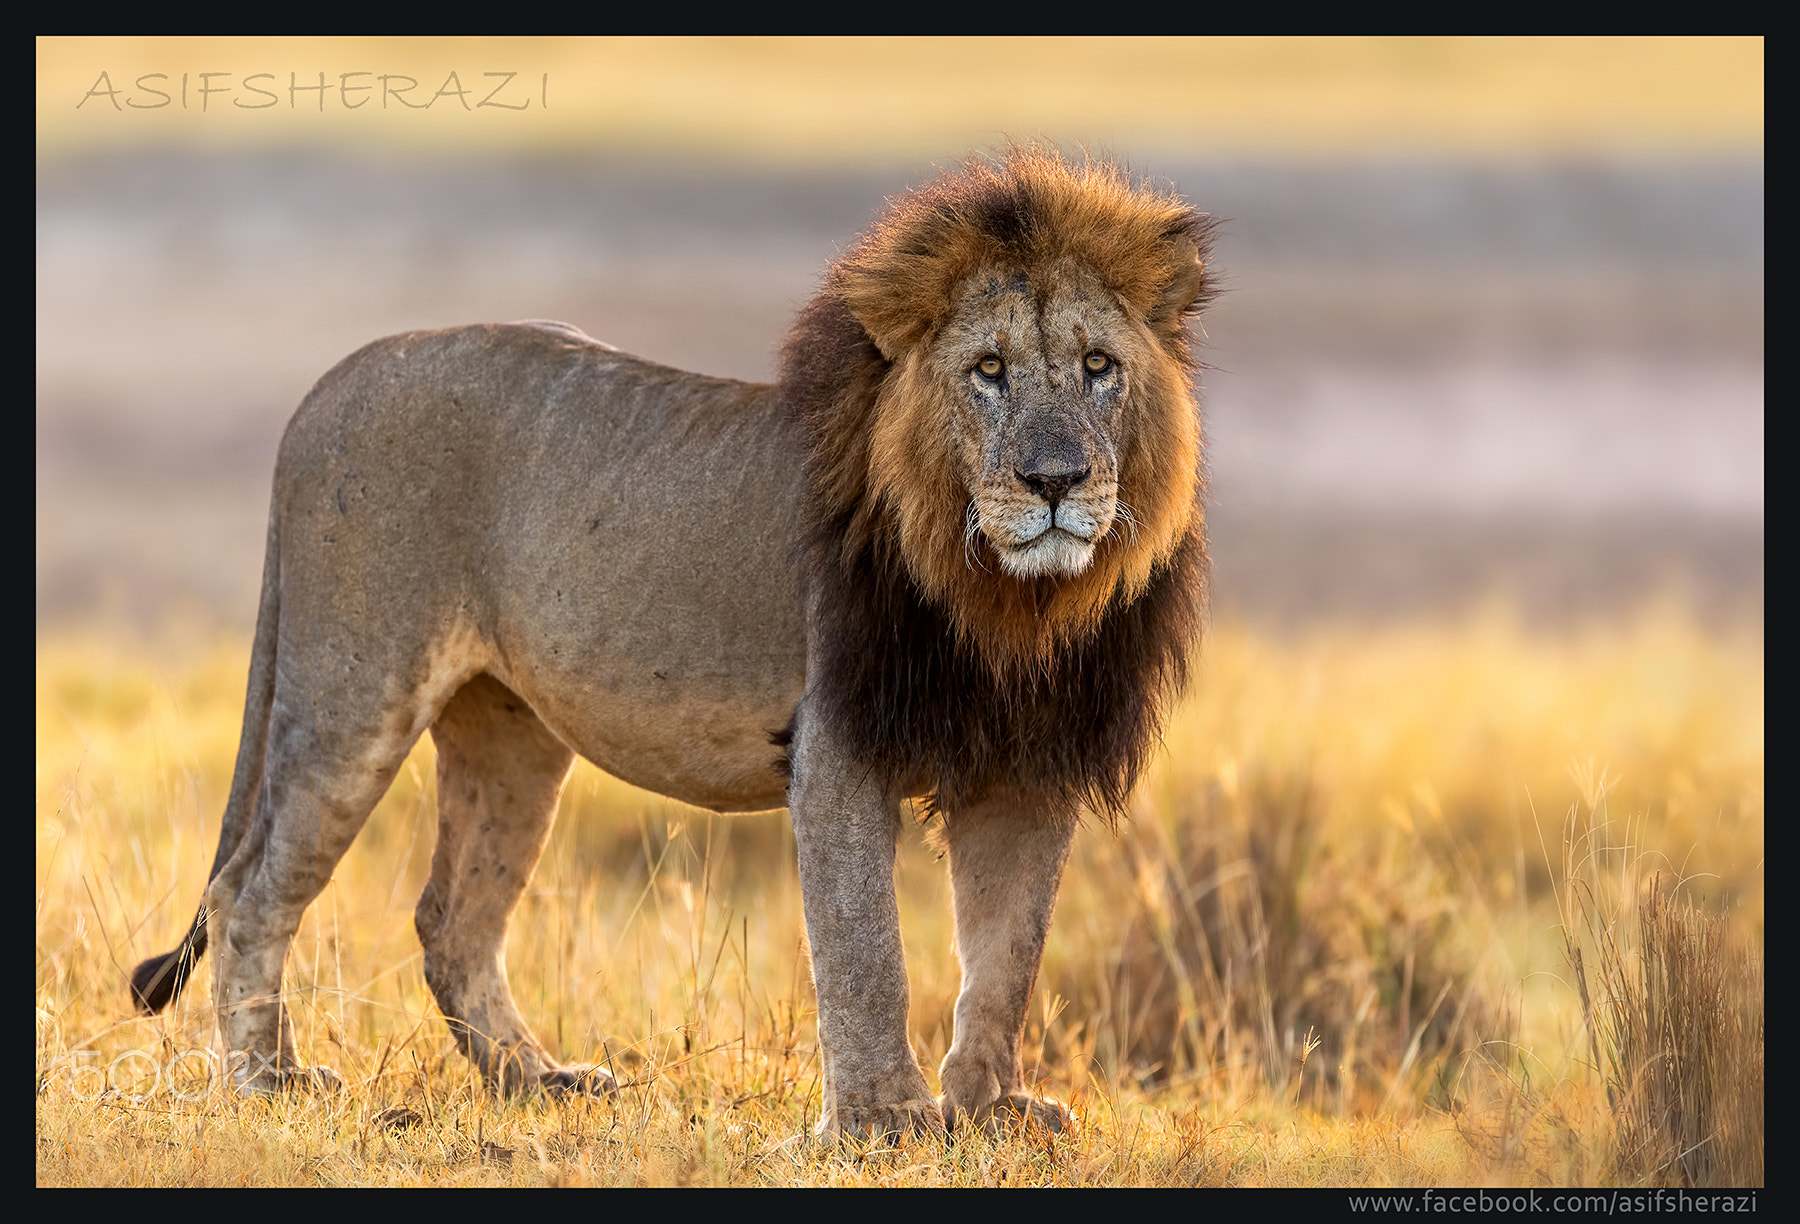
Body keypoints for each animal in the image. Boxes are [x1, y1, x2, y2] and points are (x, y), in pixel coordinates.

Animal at [129, 148, 1216, 1139]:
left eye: (1099, 368)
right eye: (988, 371)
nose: (1055, 481)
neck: (1014, 608)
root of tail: (332, 381)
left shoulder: (1028, 764)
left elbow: (1006, 955)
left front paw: (991, 1108)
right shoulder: (838, 743)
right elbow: (866, 949)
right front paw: (884, 1122)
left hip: (510, 733)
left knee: (451, 917)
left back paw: (537, 1080)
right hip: (353, 695)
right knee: (248, 890)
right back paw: (270, 1082)